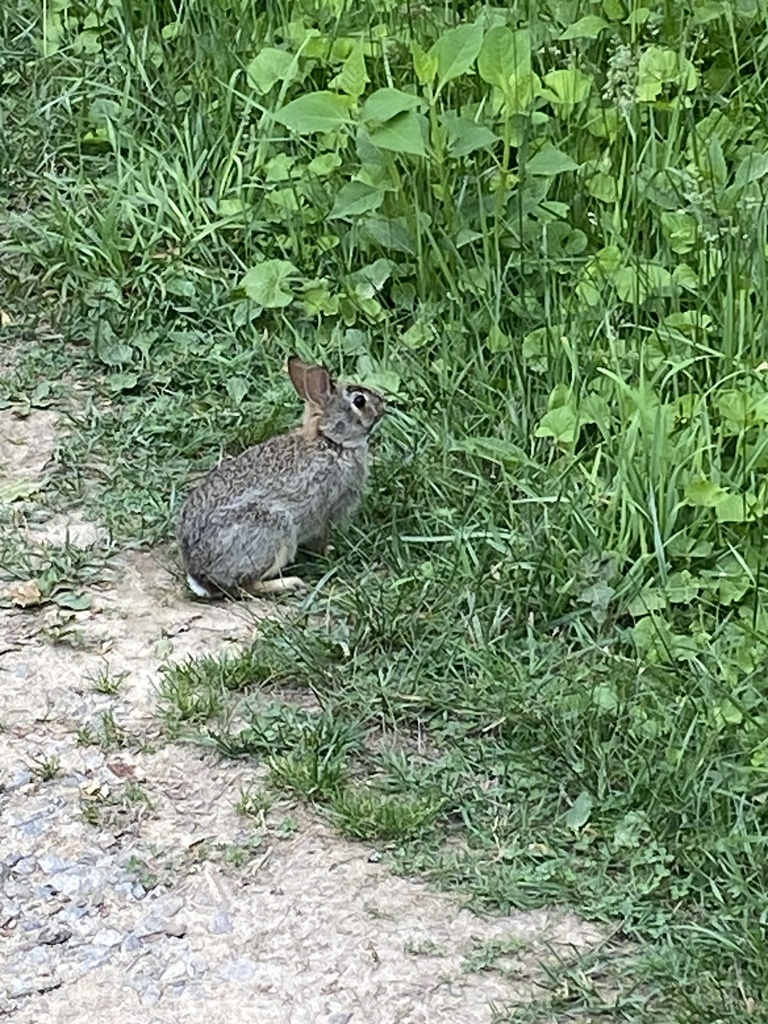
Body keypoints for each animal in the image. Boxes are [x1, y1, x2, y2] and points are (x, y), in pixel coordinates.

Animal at [176, 355, 386, 598]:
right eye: (359, 401)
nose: (383, 403)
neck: (331, 441)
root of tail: (199, 574)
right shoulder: (325, 513)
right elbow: (320, 540)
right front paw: (329, 553)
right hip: (276, 530)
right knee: (245, 587)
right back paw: (291, 583)